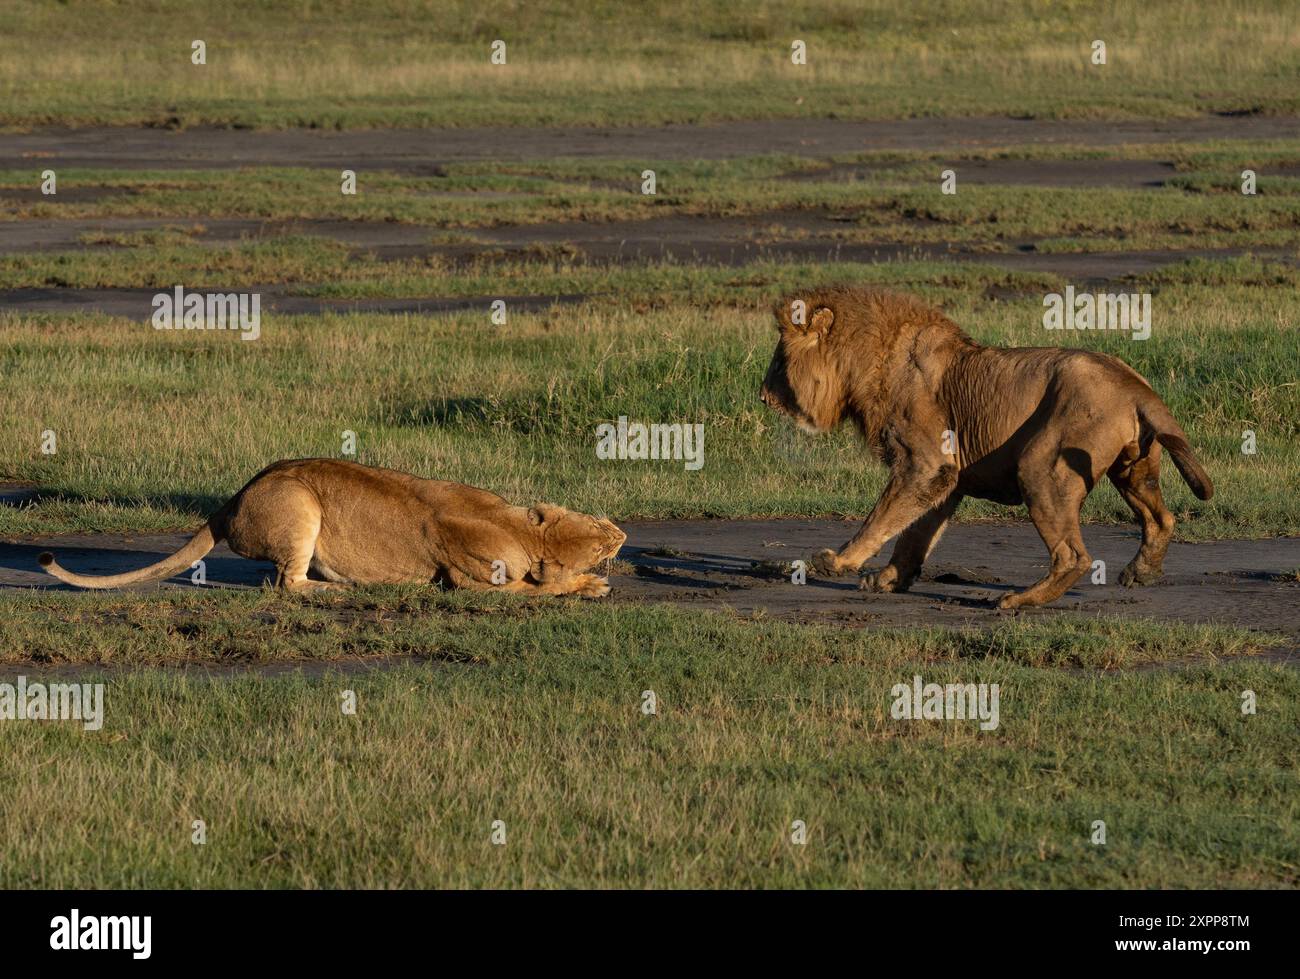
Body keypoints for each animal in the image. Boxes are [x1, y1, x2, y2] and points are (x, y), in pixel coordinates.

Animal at [759, 287, 1213, 609]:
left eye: (779, 361)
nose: (762, 397)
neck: (865, 359)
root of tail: (1135, 385)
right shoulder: (945, 477)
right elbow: (914, 534)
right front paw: (887, 579)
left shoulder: (925, 463)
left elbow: (879, 519)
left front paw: (836, 562)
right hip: (1134, 468)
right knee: (1161, 519)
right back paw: (1141, 572)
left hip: (1040, 465)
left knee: (1074, 556)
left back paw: (1017, 601)